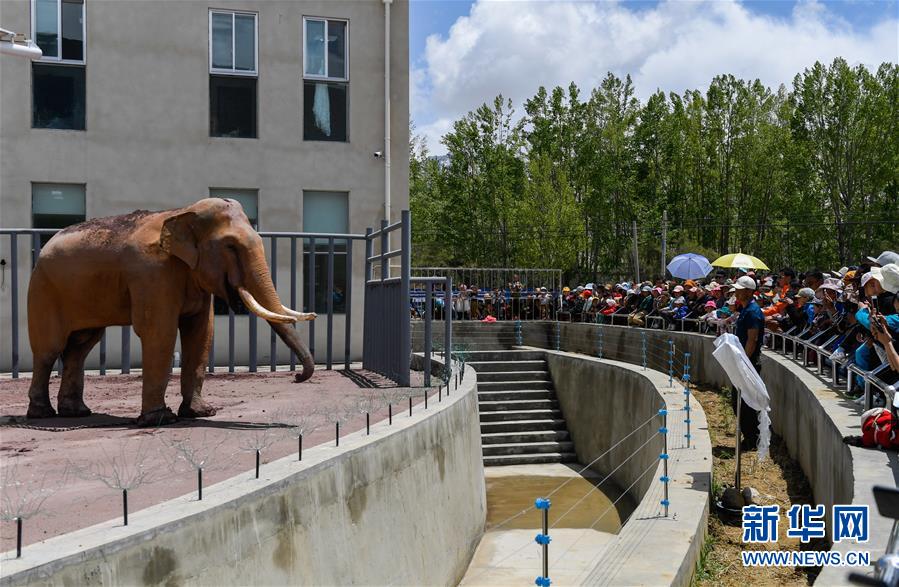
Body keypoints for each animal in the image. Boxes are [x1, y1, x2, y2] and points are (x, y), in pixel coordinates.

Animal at [25, 198, 316, 428]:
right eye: (230, 247)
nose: (296, 377)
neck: (182, 213)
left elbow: (201, 334)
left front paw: (201, 413)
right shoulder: (151, 272)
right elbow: (159, 332)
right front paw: (160, 419)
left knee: (81, 346)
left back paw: (77, 413)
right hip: (43, 290)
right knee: (49, 350)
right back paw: (42, 414)